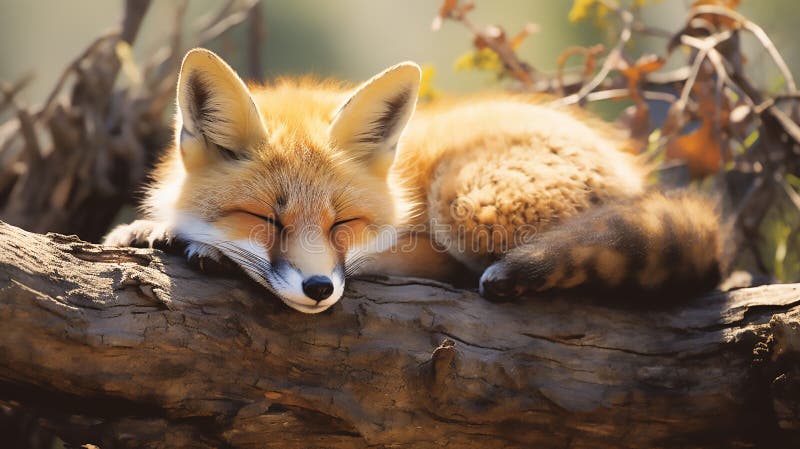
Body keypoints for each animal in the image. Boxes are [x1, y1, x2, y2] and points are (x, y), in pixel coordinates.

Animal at [104, 48, 726, 313]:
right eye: (265, 219)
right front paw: (149, 229)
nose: (319, 289)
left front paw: (201, 247)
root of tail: (631, 173)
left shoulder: (413, 249)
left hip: (469, 206)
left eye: (345, 224)